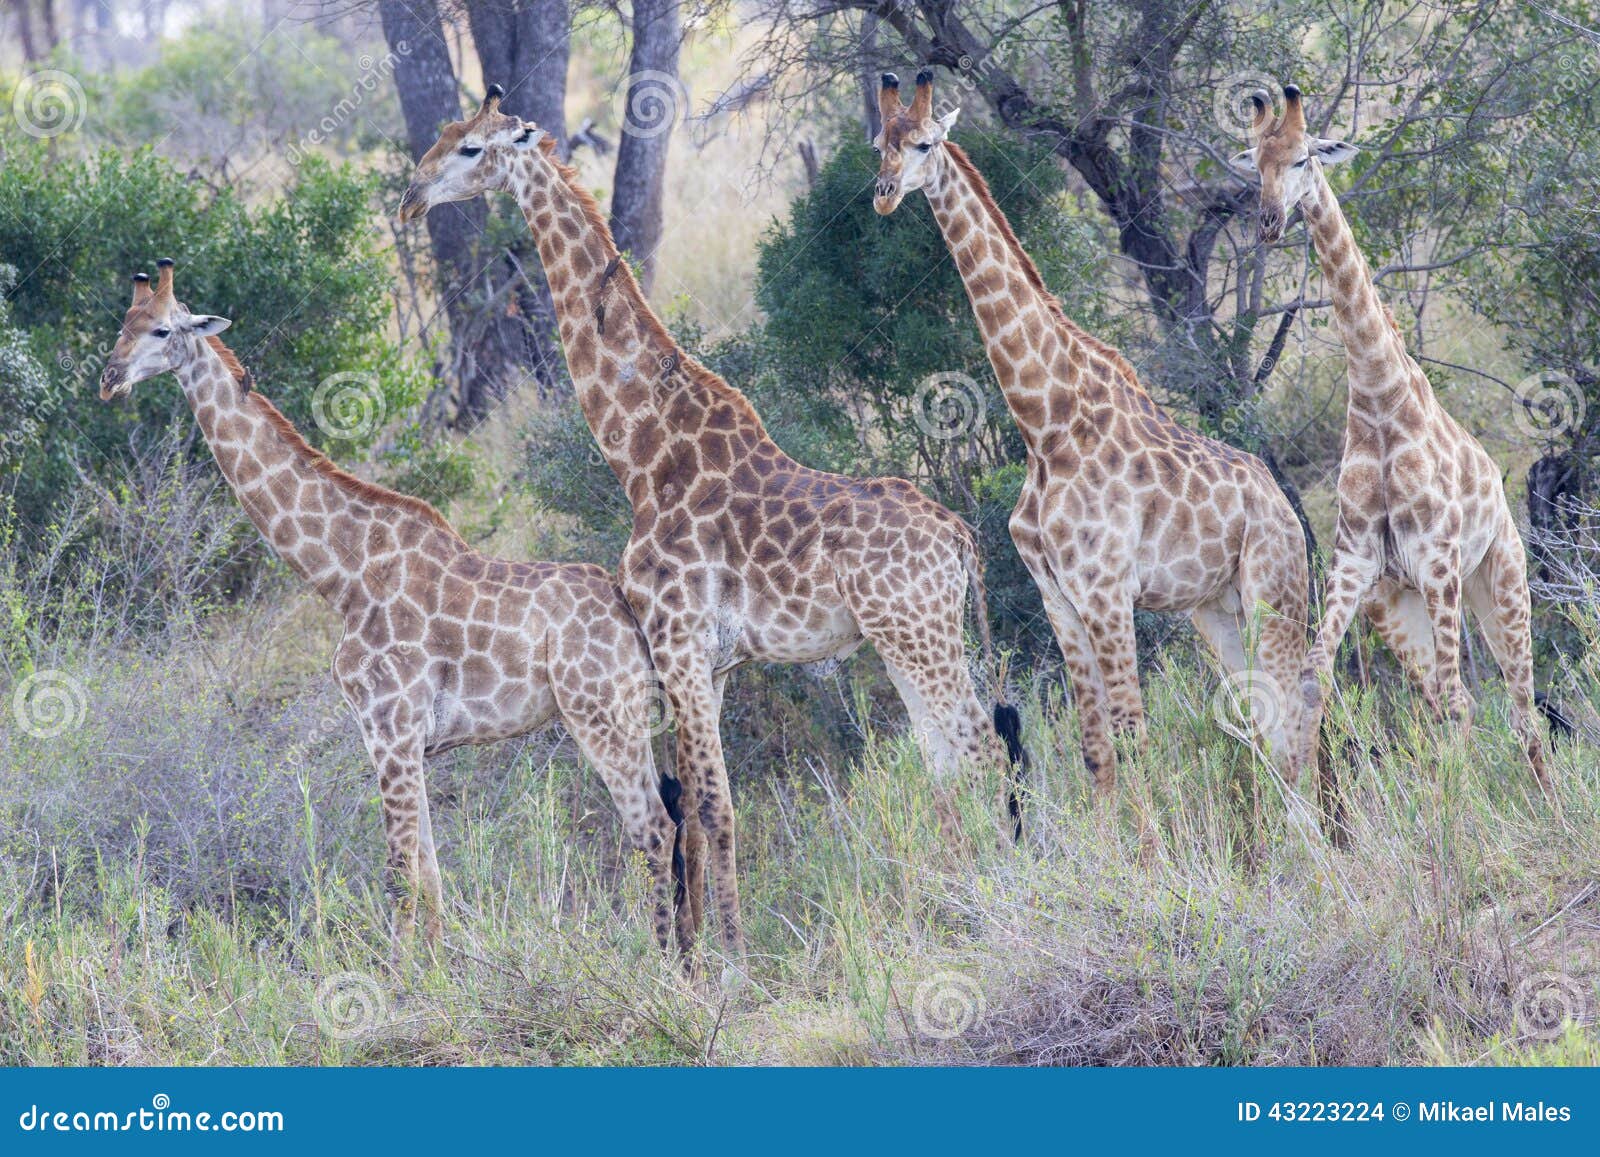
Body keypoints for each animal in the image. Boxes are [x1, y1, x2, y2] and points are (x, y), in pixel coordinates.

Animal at [98, 260, 687, 959]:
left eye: (162, 329)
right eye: (121, 324)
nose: (108, 378)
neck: (342, 574)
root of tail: (633, 617)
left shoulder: (391, 728)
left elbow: (399, 870)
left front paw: (400, 975)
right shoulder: (401, 739)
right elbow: (428, 870)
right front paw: (435, 967)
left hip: (599, 715)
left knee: (654, 829)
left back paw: (668, 963)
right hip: (627, 717)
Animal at [399, 86, 1029, 961]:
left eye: (469, 149)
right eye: (444, 136)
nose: (410, 196)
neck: (643, 453)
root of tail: (963, 539)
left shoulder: (678, 641)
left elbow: (711, 804)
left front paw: (729, 959)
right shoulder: (714, 660)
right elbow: (703, 806)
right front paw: (709, 949)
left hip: (918, 632)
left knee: (979, 745)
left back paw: (999, 892)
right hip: (914, 636)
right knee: (948, 756)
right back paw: (957, 893)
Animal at [871, 70, 1310, 798]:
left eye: (924, 143)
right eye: (878, 143)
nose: (882, 193)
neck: (1044, 423)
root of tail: (1286, 507)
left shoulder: (1106, 592)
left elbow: (1134, 737)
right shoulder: (1060, 599)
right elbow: (1097, 749)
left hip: (1273, 590)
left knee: (1298, 710)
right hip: (1215, 606)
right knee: (1268, 718)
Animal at [1232, 84, 1550, 794]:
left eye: (1304, 158)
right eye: (1255, 165)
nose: (1268, 222)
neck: (1379, 400)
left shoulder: (1438, 559)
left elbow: (1462, 701)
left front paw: (1463, 817)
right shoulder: (1355, 564)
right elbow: (1312, 679)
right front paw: (1310, 806)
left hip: (1499, 581)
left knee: (1517, 707)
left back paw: (1544, 804)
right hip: (1401, 607)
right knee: (1444, 699)